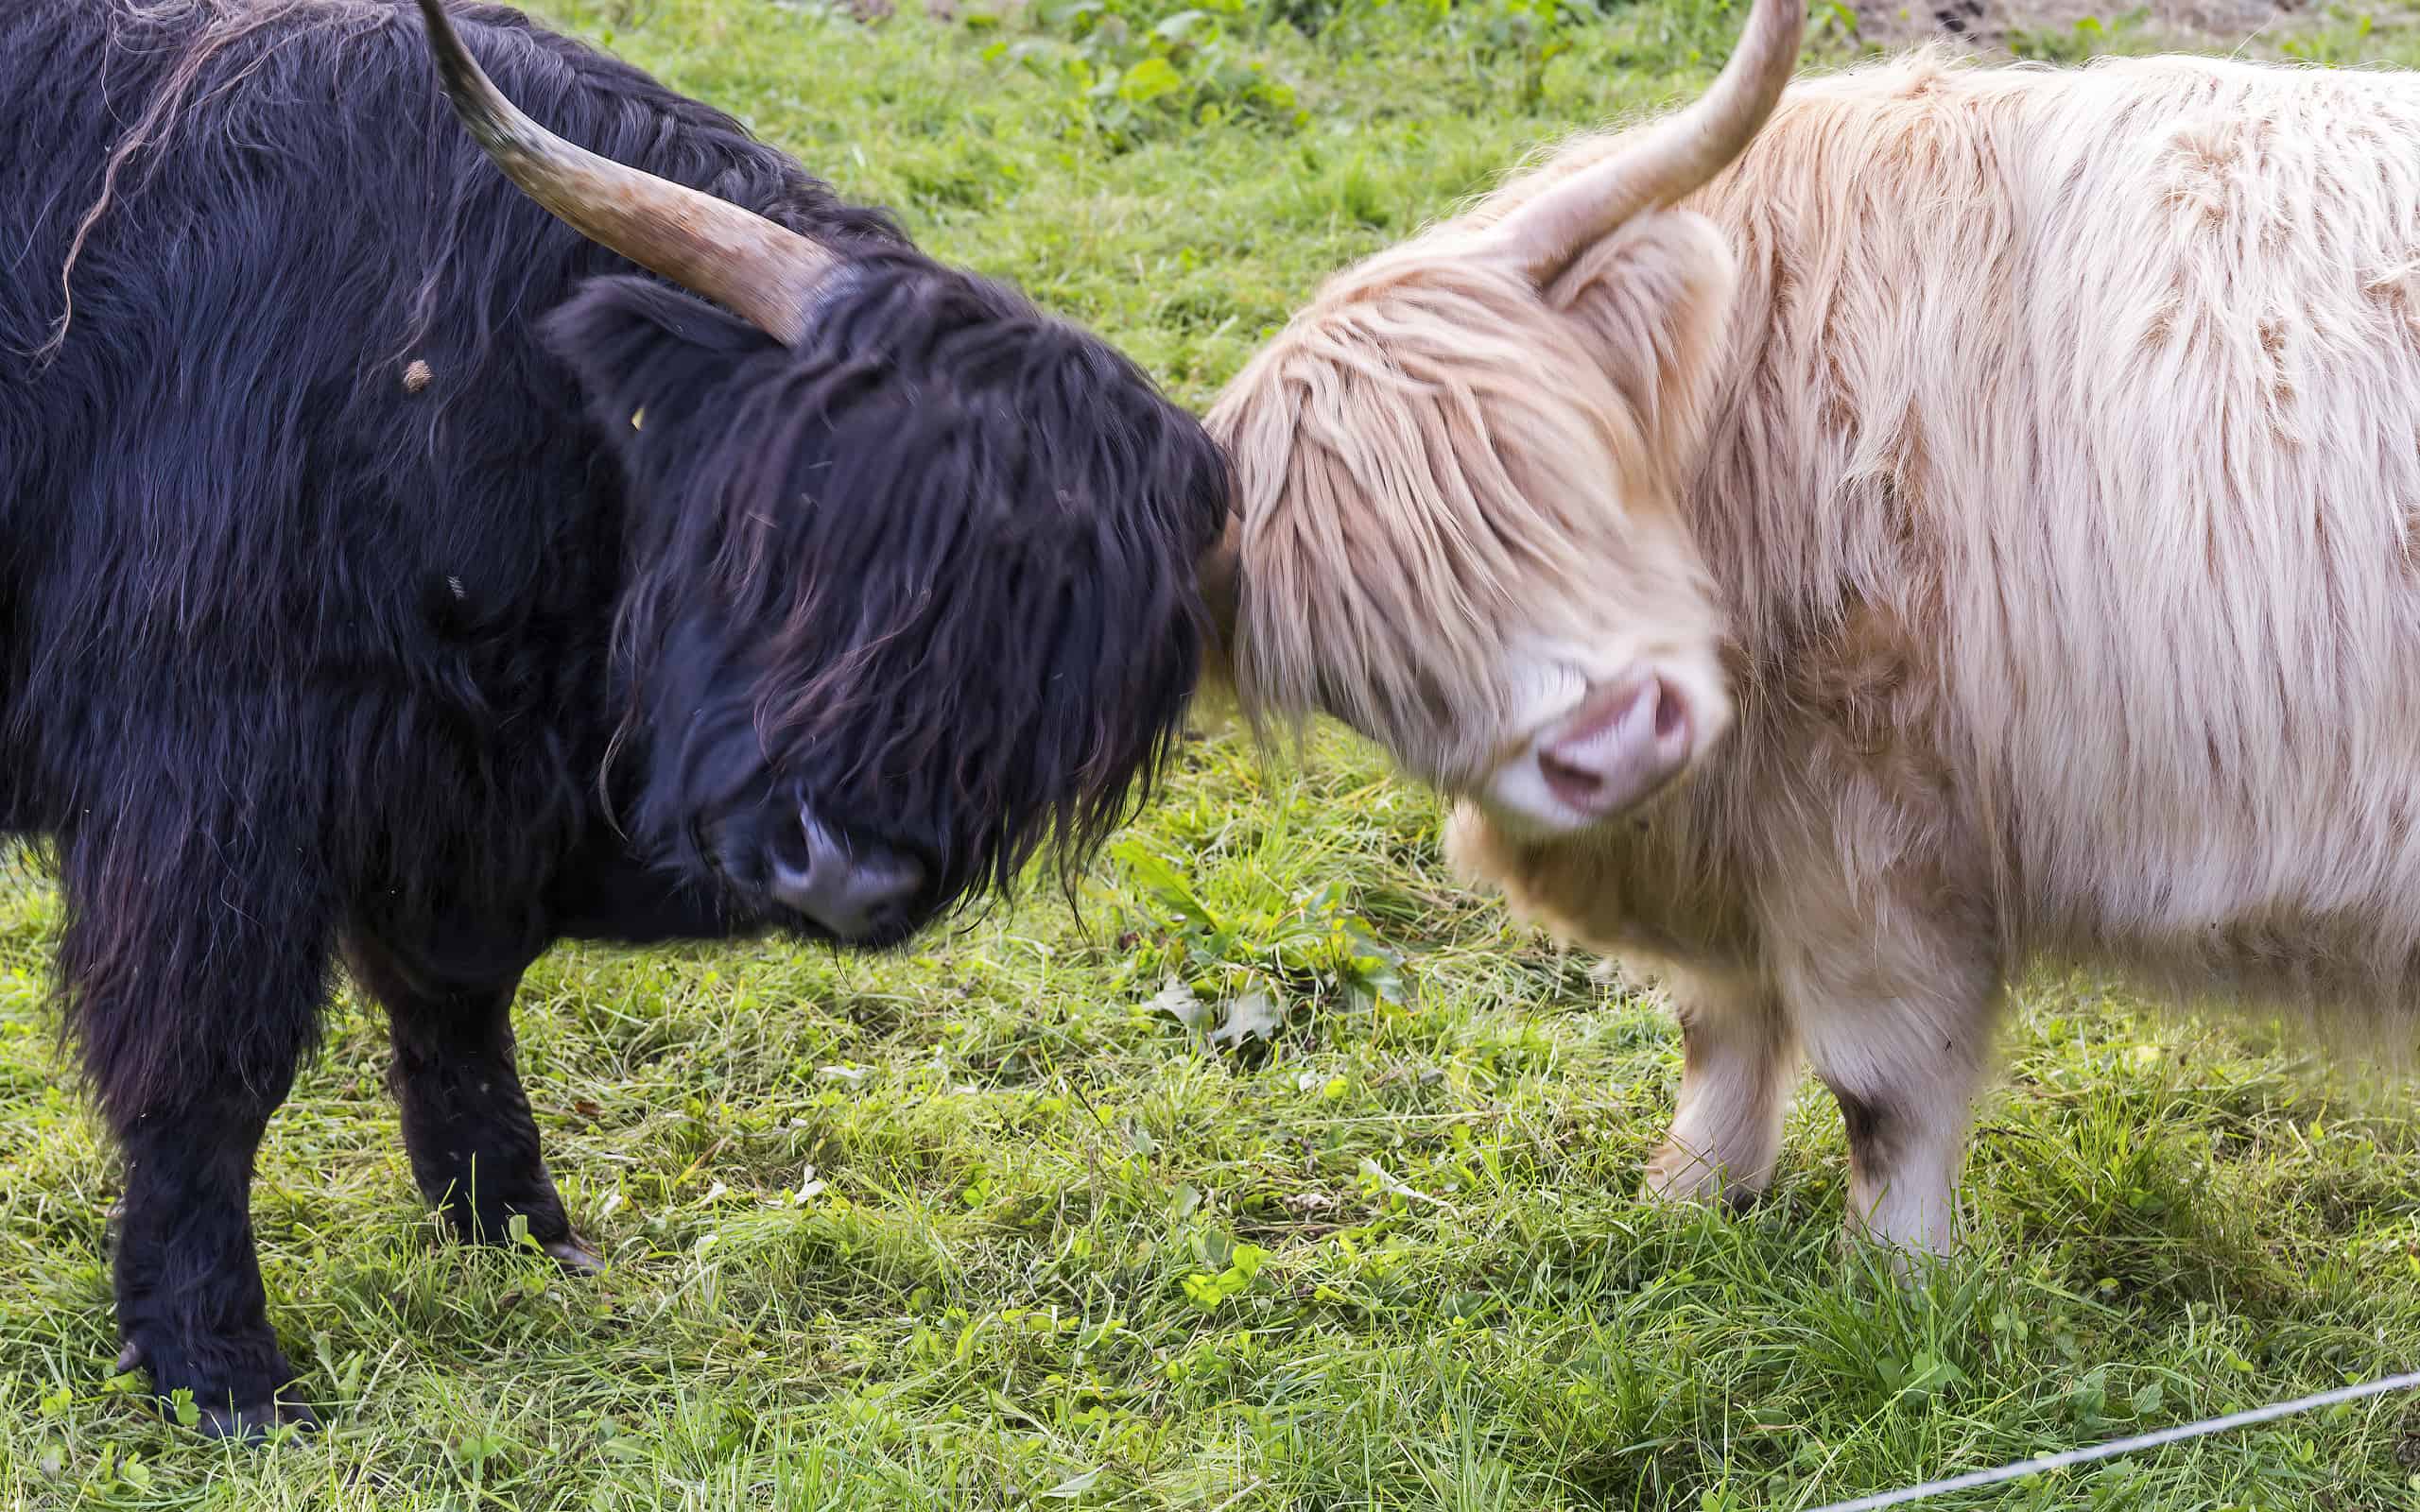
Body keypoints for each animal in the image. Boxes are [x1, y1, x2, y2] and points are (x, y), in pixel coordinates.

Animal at [0, 0, 1227, 1436]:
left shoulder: (446, 806)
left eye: (1053, 666)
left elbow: (458, 1007)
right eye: (786, 523)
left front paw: (522, 1231)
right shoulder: (214, 772)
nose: (844, 873)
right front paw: (219, 1363)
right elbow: (209, 1063)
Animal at [1202, 0, 2420, 1269]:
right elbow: (1717, 1029)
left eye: (1562, 473)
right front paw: (1689, 1194)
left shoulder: (1876, 829)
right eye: (1357, 659)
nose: (1613, 742)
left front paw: (1896, 1274)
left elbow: (1885, 1091)